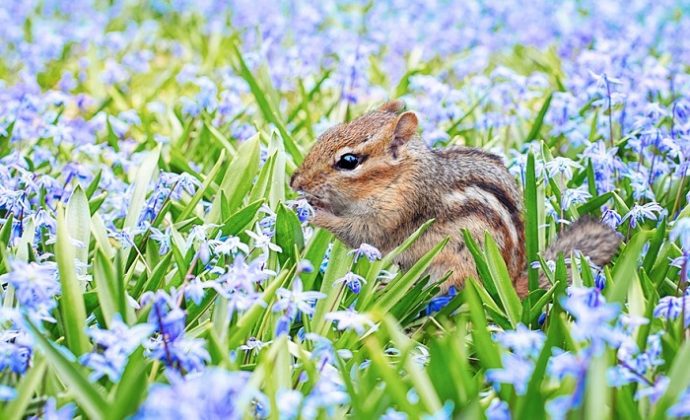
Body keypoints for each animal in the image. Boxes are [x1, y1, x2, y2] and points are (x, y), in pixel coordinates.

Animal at [290, 100, 621, 297]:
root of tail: (511, 283)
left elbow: (359, 233)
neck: (399, 178)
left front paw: (313, 210)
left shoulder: (395, 215)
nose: (295, 181)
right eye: (327, 132)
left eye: (348, 161)